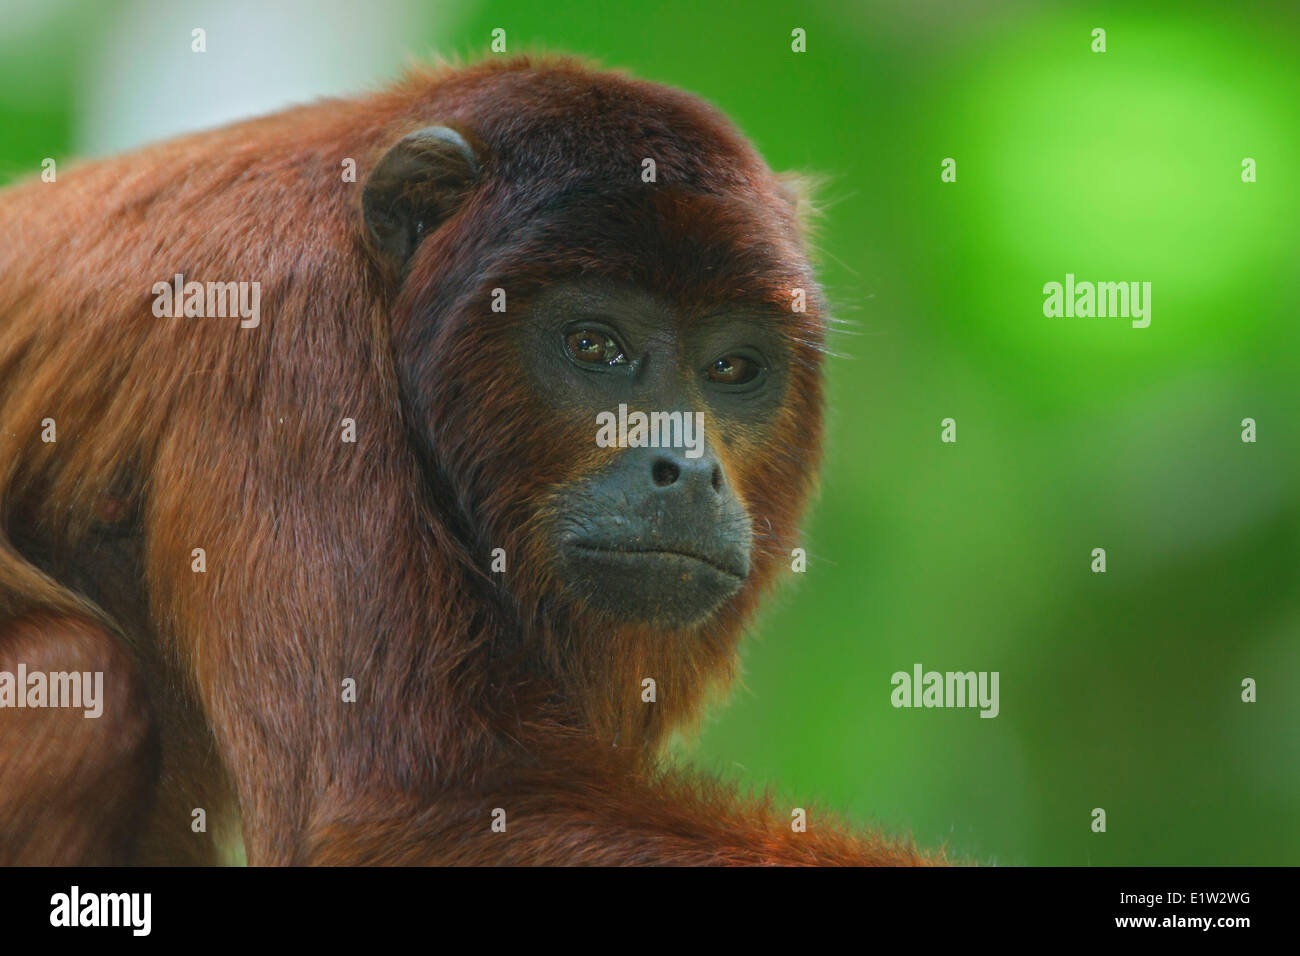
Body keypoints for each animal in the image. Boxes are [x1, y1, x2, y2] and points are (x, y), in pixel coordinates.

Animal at [0, 56, 937, 866]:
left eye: (733, 368)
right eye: (594, 344)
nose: (690, 471)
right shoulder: (282, 342)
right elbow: (394, 813)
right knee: (81, 688)